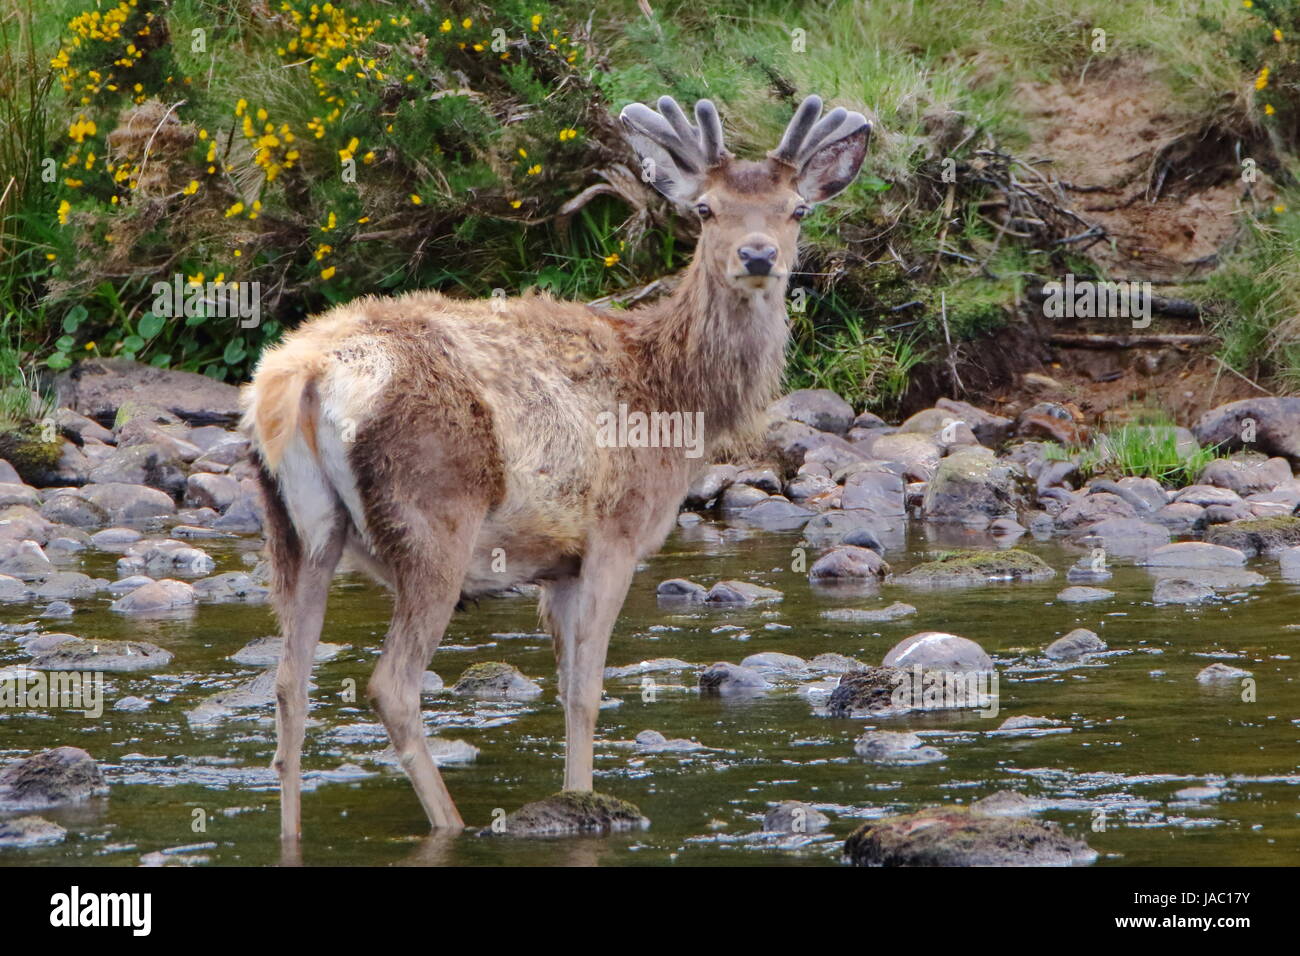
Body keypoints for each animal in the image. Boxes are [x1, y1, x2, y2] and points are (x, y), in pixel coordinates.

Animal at [242, 93, 871, 842]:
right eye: (706, 209)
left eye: (796, 209)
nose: (757, 254)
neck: (675, 399)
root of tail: (302, 378)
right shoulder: (615, 531)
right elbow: (585, 691)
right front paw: (583, 802)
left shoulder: (558, 562)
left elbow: (566, 684)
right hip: (434, 515)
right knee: (391, 684)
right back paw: (453, 823)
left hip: (294, 527)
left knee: (290, 681)